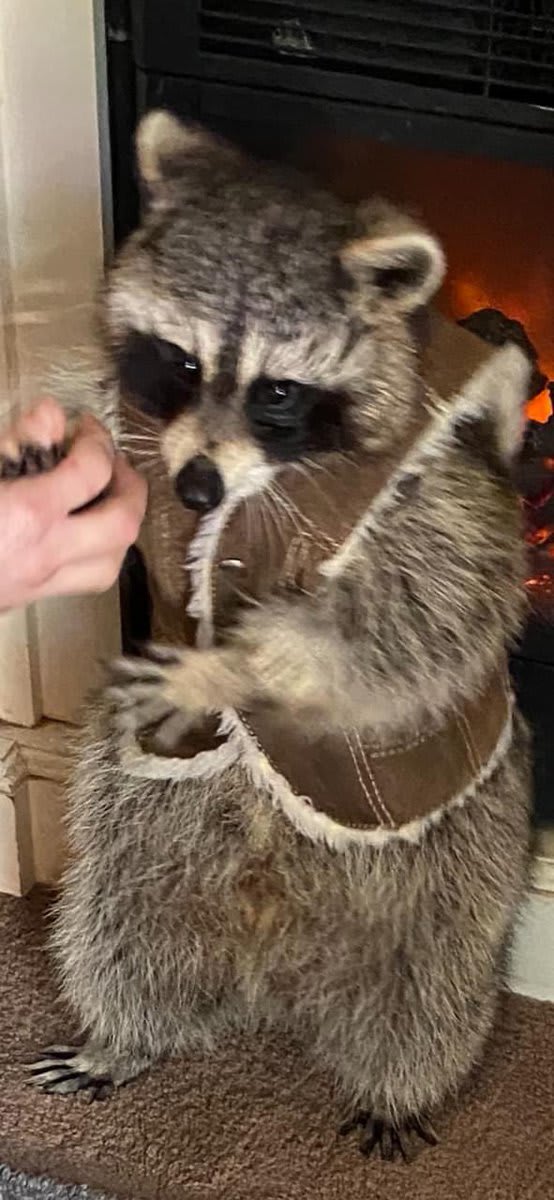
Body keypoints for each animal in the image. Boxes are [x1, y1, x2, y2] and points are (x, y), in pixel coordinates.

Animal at [28, 112, 532, 1162]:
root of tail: (274, 942)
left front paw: (229, 667)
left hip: (457, 848)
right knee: (122, 914)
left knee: (433, 968)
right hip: (157, 816)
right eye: (180, 363)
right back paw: (125, 1033)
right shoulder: (134, 422)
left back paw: (402, 1079)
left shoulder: (426, 503)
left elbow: (408, 627)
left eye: (279, 393)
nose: (197, 490)